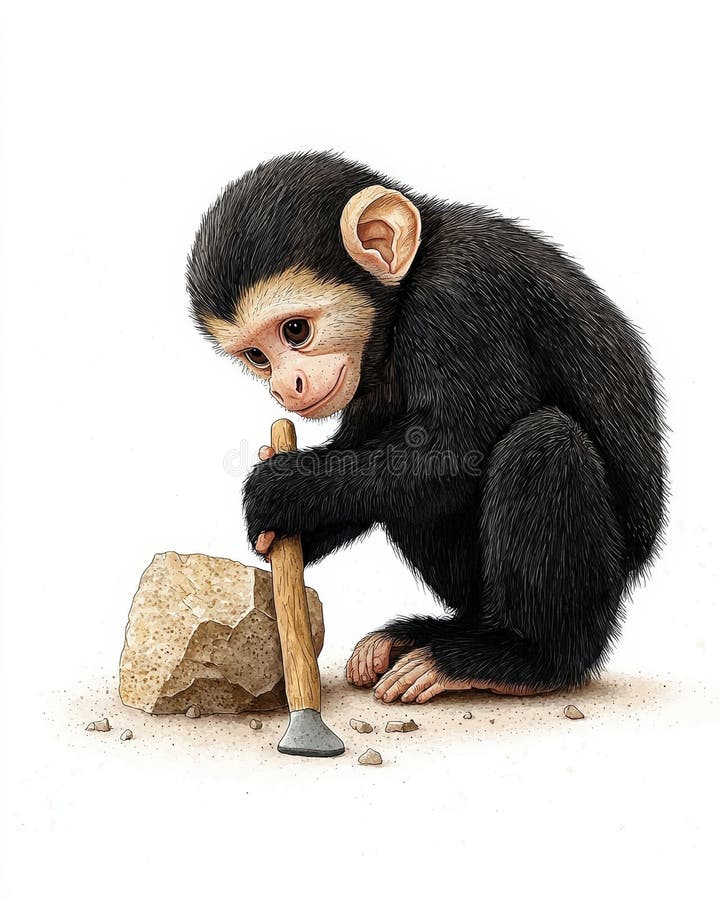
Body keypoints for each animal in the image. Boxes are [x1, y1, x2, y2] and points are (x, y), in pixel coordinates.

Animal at [186, 152, 667, 704]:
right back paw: (429, 634)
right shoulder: (369, 375)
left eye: (296, 331)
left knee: (544, 442)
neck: (407, 286)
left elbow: (455, 448)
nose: (287, 387)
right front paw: (282, 518)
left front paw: (279, 487)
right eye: (258, 357)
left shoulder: (457, 296)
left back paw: (518, 658)